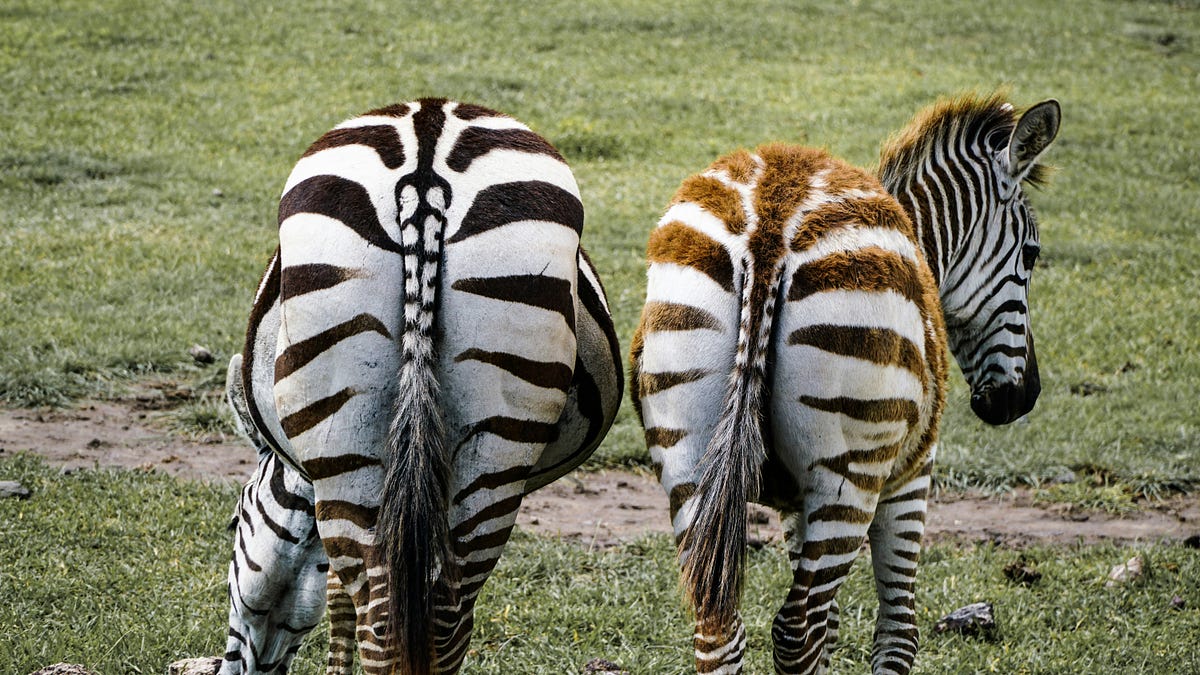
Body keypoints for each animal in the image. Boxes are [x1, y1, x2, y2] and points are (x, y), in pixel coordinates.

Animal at [218, 98, 623, 674]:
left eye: (234, 524)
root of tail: (424, 169)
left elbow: (337, 599)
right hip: (486, 449)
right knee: (438, 620)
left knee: (392, 622)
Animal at [629, 93, 1059, 674]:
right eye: (1032, 255)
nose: (1023, 397)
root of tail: (769, 221)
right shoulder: (912, 477)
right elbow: (897, 633)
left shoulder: (795, 505)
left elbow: (831, 630)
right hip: (849, 472)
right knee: (795, 630)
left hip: (687, 452)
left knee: (722, 628)